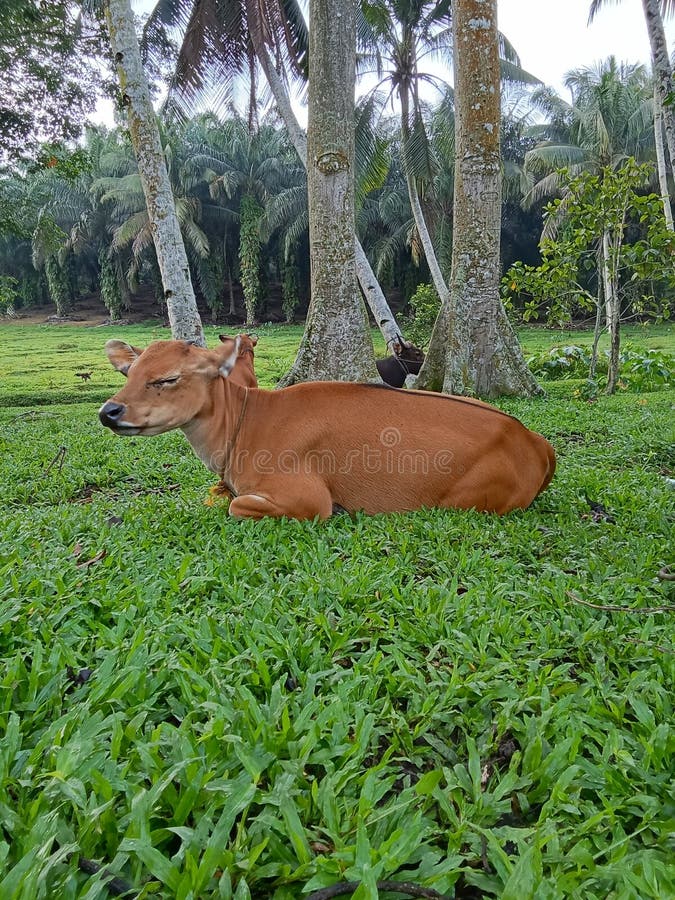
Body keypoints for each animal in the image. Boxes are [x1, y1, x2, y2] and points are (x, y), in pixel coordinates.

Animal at [99, 336, 556, 520]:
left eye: (167, 378)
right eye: (129, 372)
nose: (109, 412)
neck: (245, 423)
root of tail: (535, 441)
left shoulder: (306, 496)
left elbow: (236, 505)